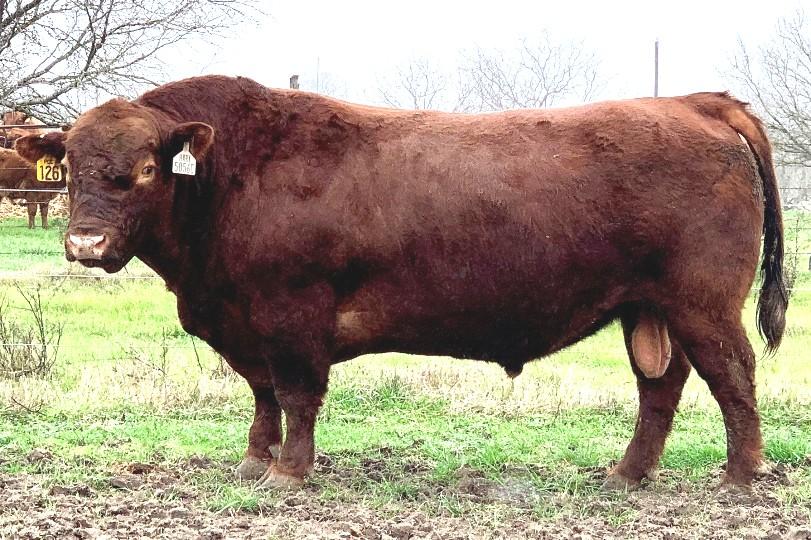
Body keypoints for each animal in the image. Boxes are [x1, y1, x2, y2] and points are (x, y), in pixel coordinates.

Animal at [15, 75, 787, 491]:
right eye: (72, 164)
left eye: (147, 169)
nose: (85, 243)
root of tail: (694, 102)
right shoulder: (245, 325)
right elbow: (262, 395)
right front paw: (255, 461)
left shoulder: (293, 316)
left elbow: (296, 394)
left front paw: (289, 472)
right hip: (649, 310)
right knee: (661, 388)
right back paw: (626, 474)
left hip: (703, 305)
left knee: (734, 377)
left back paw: (740, 476)